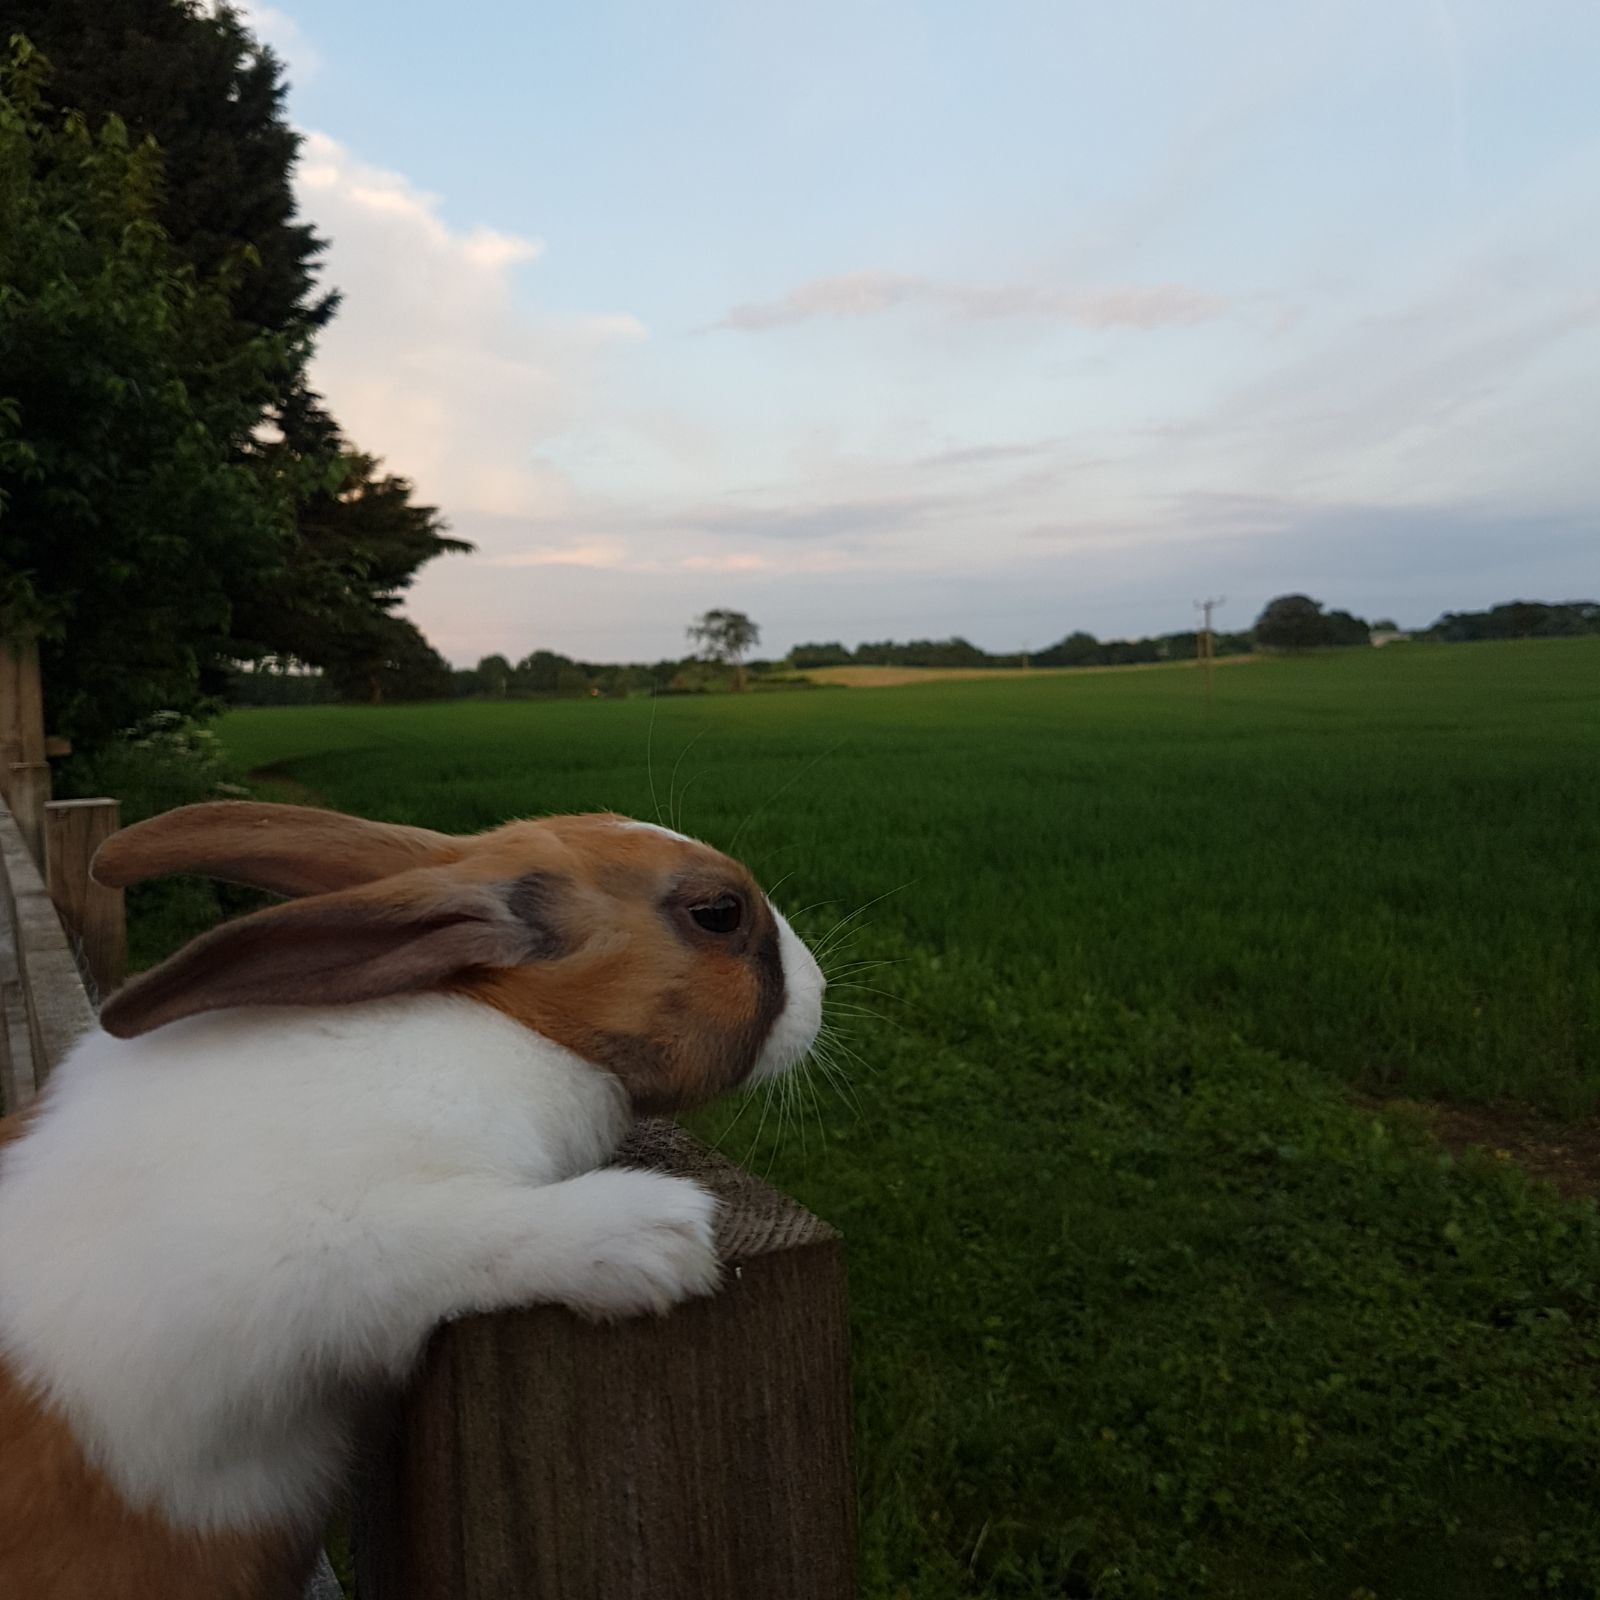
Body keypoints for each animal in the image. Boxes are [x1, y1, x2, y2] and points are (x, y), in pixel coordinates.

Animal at [0, 801, 824, 1599]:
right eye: (719, 913)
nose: (818, 987)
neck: (505, 1024)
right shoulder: (319, 1250)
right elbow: (455, 1241)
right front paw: (655, 1236)